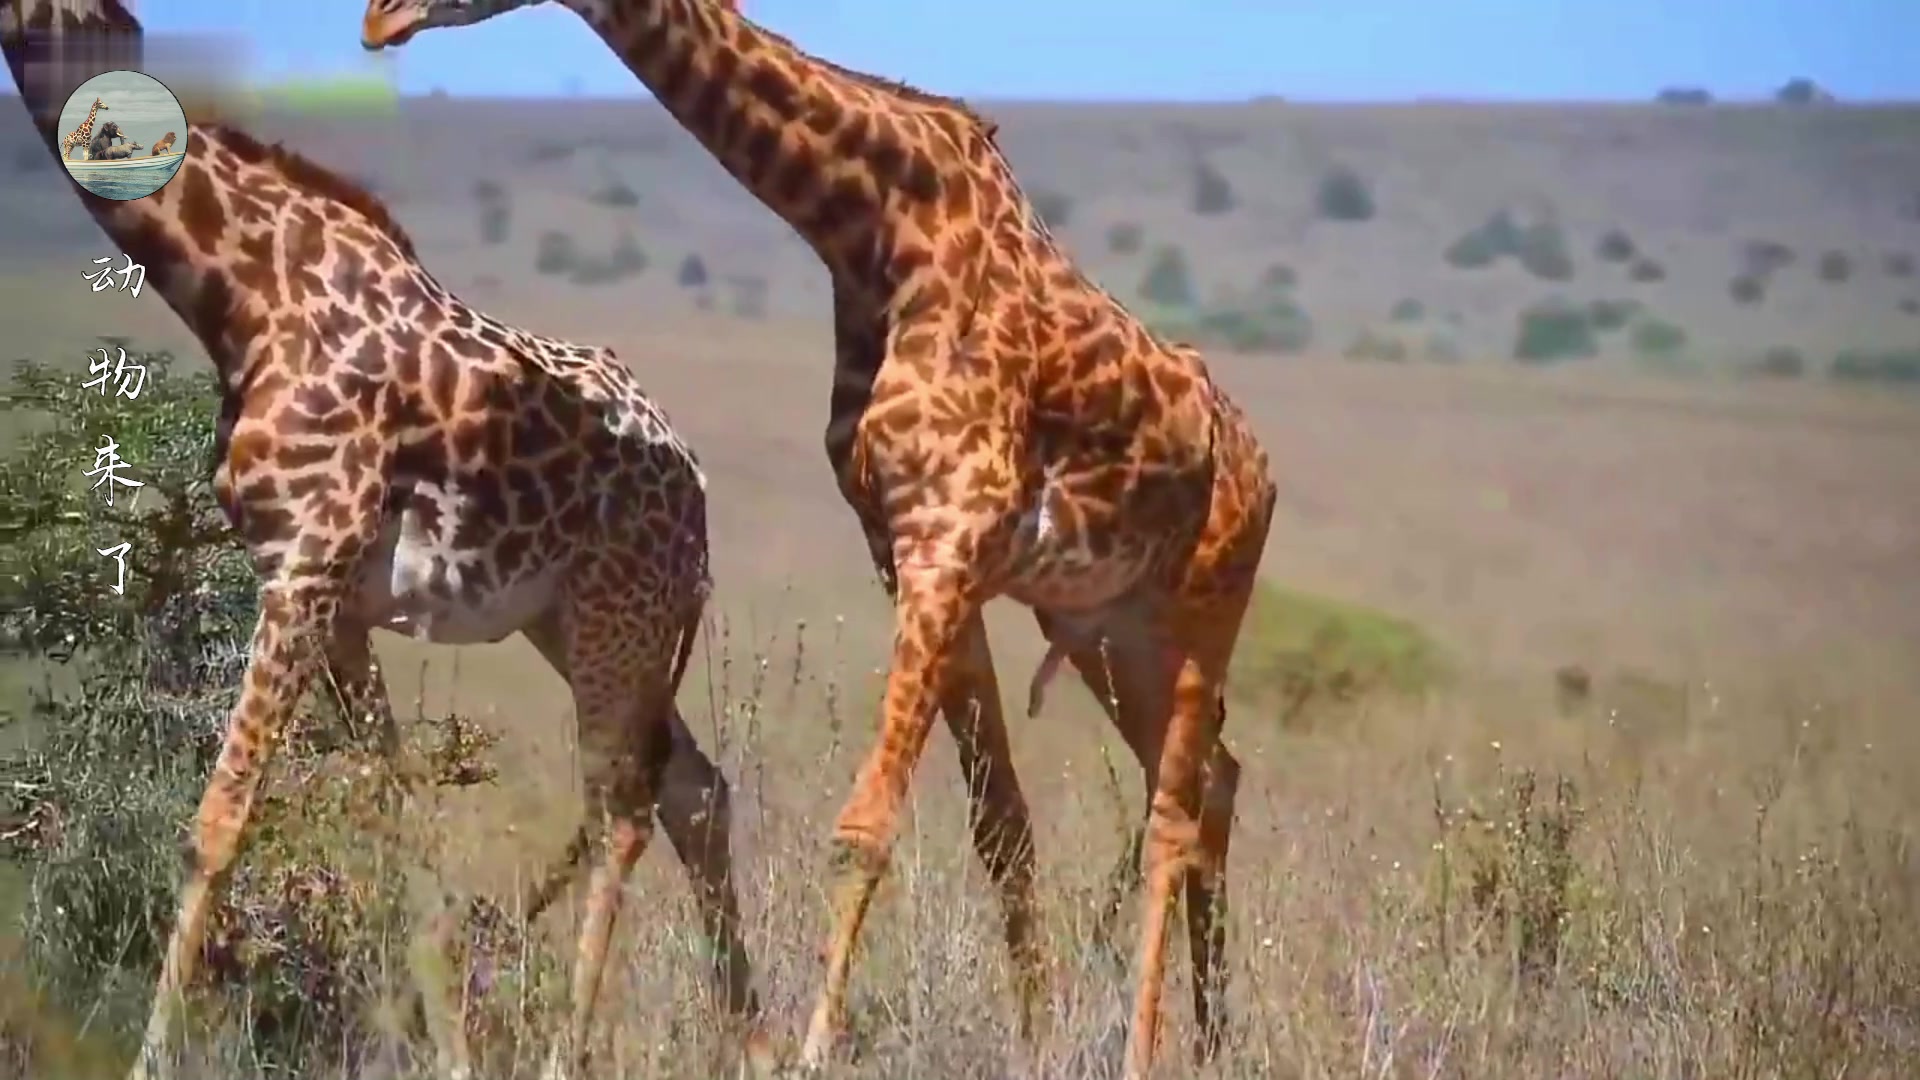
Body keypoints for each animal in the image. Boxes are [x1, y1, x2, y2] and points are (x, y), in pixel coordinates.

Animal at [3, 4, 765, 1080]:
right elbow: (393, 817)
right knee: (694, 791)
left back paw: (570, 1051)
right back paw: (760, 1043)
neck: (244, 296)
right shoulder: (336, 606)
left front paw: (151, 1057)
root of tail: (696, 490)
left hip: (618, 617)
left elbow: (218, 824)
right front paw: (446, 1049)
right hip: (582, 624)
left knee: (629, 802)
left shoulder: (304, 567)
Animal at [365, 3, 1277, 1077]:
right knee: (1214, 778)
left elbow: (864, 827)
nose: (379, 20)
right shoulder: (909, 547)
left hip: (1211, 597)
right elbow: (1000, 825)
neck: (875, 224)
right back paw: (1212, 1042)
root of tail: (1260, 466)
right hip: (1108, 625)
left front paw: (810, 1051)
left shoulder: (949, 535)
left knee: (1176, 811)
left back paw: (1149, 1049)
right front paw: (1035, 1037)